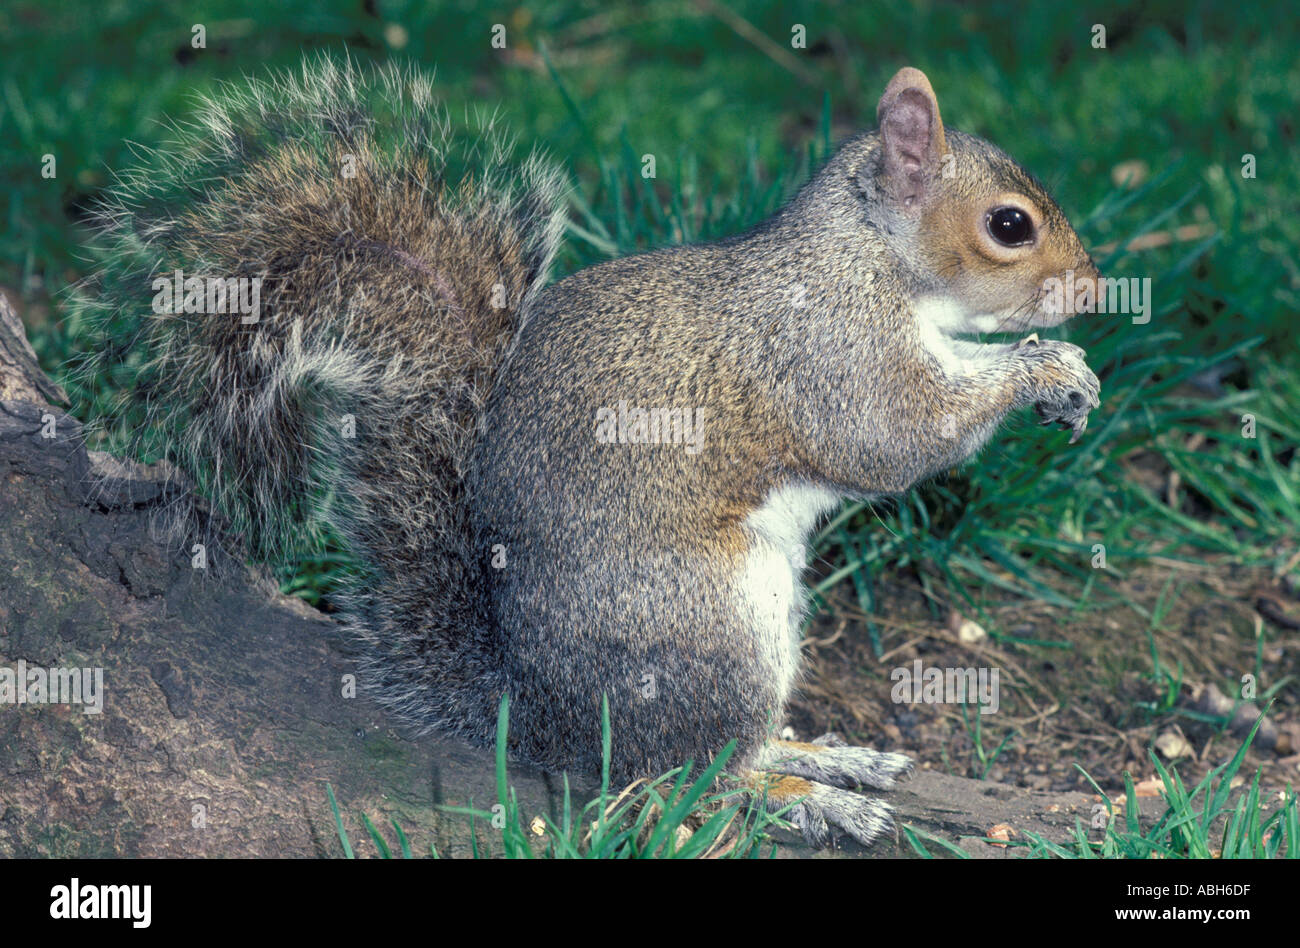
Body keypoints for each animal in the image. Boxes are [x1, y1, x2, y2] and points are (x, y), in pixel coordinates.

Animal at [76, 55, 1100, 848]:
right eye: (1010, 224)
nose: (1095, 292)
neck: (870, 256)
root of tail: (536, 715)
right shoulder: (832, 351)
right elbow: (895, 438)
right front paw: (1041, 370)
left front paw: (1062, 368)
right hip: (708, 629)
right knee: (688, 777)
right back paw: (806, 801)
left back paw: (825, 756)